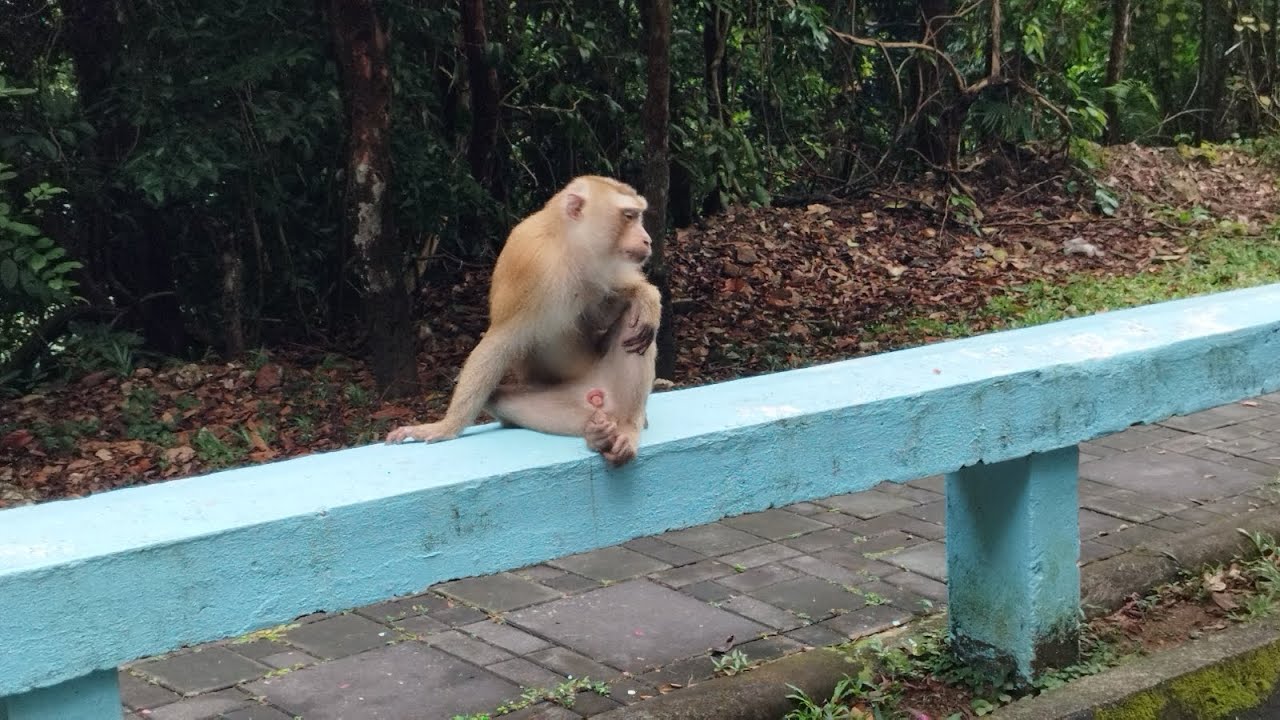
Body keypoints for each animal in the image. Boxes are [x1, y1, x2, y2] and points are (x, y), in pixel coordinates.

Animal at [386, 175, 661, 466]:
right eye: (629, 216)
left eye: (638, 215)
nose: (648, 240)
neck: (566, 245)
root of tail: (595, 396)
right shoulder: (530, 265)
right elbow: (499, 343)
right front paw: (446, 426)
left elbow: (604, 312)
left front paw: (646, 295)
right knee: (498, 396)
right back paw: (598, 436)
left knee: (637, 325)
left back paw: (626, 428)